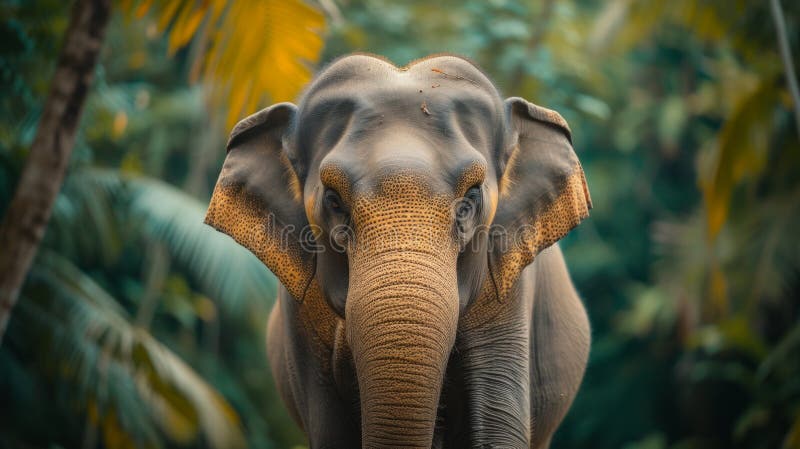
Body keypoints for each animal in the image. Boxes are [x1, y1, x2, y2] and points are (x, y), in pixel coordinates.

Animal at [204, 54, 592, 448]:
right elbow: (331, 433)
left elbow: (499, 428)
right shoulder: (301, 316)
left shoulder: (507, 296)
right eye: (333, 200)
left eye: (470, 198)